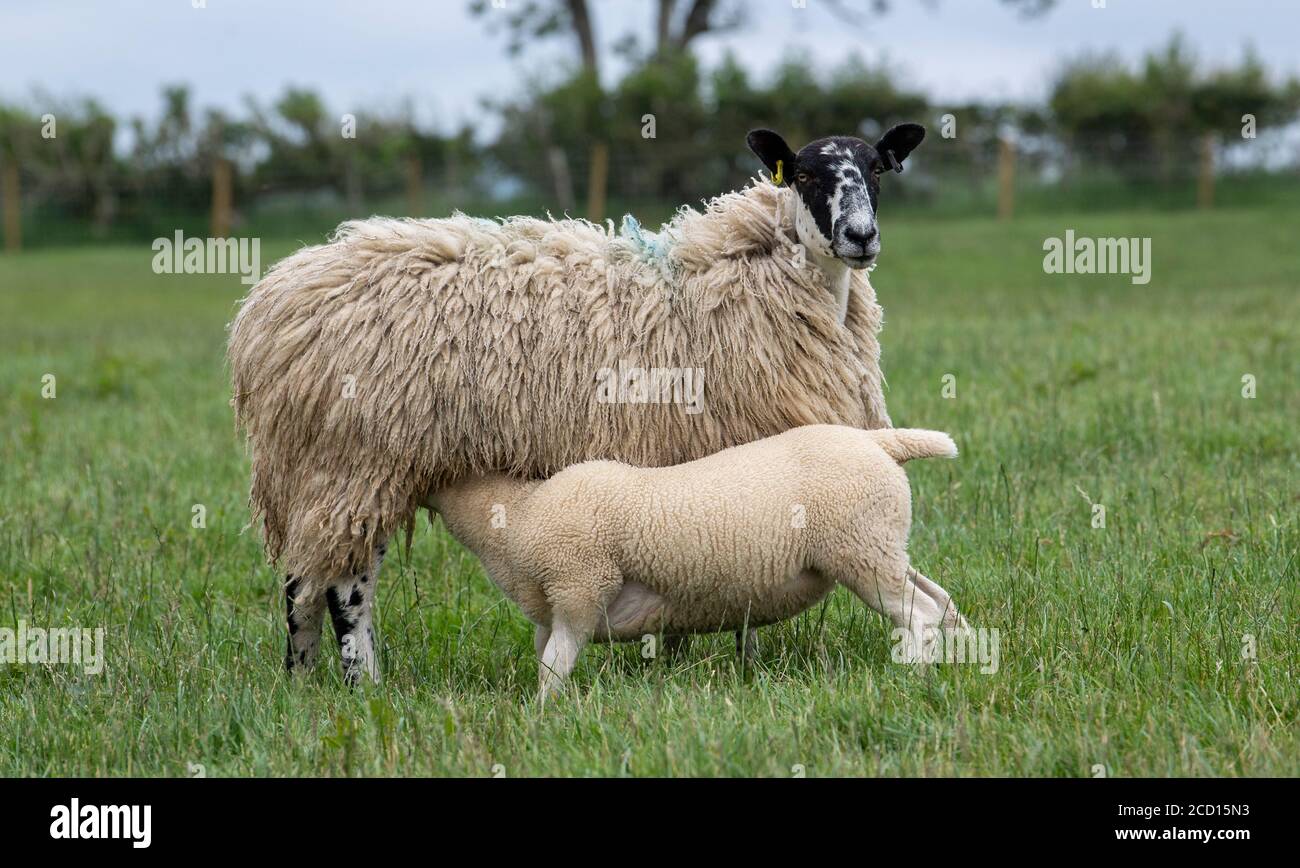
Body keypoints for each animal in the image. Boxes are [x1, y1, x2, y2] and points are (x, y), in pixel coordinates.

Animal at [228, 126, 926, 683]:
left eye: (877, 171)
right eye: (804, 174)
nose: (861, 237)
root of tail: (272, 307)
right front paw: (725, 659)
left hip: (332, 467)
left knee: (301, 585)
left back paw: (302, 682)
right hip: (358, 458)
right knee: (345, 588)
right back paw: (362, 684)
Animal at [426, 424, 964, 700]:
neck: (517, 512)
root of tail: (876, 441)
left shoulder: (580, 586)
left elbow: (555, 666)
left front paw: (543, 715)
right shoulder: (550, 606)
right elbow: (546, 655)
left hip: (859, 549)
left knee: (917, 612)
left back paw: (911, 677)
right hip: (882, 545)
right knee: (940, 601)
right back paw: (956, 663)